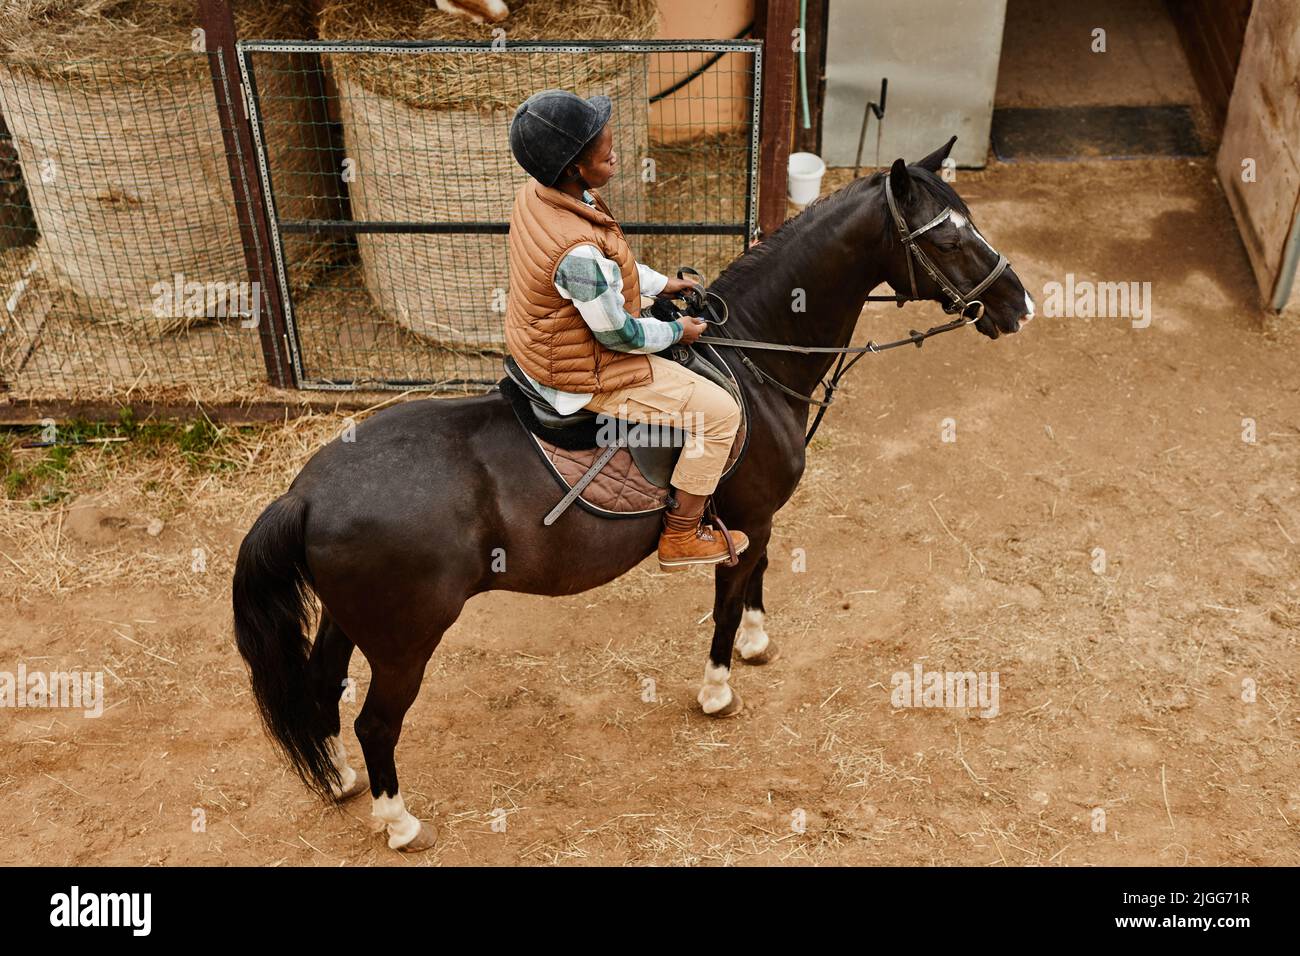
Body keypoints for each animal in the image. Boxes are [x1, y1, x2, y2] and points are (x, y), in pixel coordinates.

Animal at [232, 137, 1034, 851]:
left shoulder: (757, 519)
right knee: (374, 722)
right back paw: (399, 823)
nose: (1021, 304)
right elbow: (727, 597)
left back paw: (341, 781)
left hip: (350, 621)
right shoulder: (747, 515)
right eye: (950, 236)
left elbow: (758, 573)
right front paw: (717, 689)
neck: (754, 353)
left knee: (322, 688)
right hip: (405, 640)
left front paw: (757, 641)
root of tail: (307, 492)